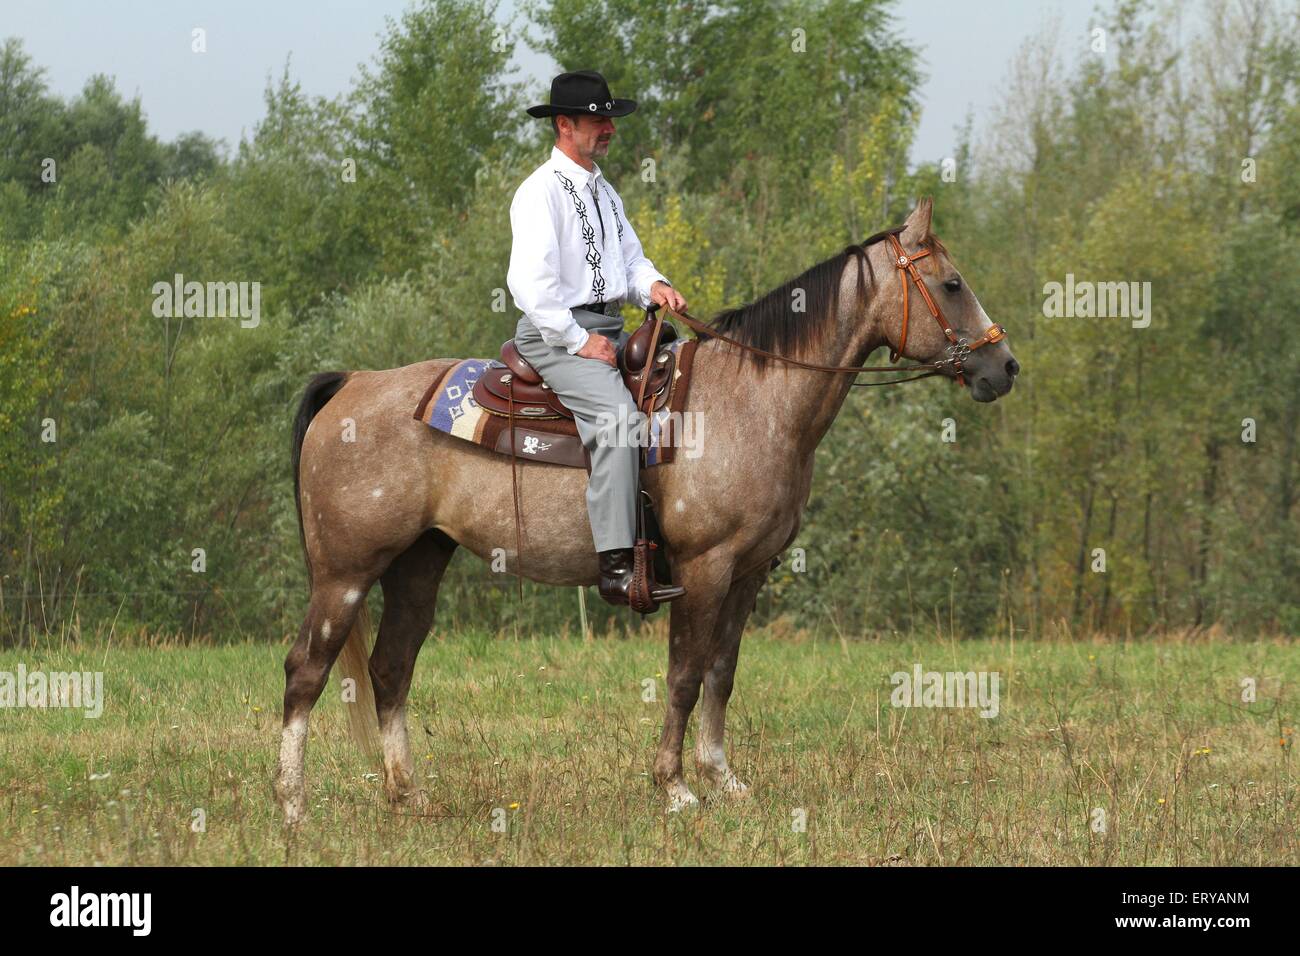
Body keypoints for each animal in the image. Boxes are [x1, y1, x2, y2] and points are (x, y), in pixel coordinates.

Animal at [272, 197, 1019, 823]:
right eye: (952, 284)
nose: (1005, 366)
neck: (752, 400)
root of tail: (351, 384)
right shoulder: (703, 568)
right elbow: (685, 676)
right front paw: (676, 786)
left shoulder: (749, 572)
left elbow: (722, 673)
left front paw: (724, 779)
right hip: (344, 574)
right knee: (306, 668)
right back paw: (293, 807)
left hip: (418, 562)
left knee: (391, 667)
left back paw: (410, 796)